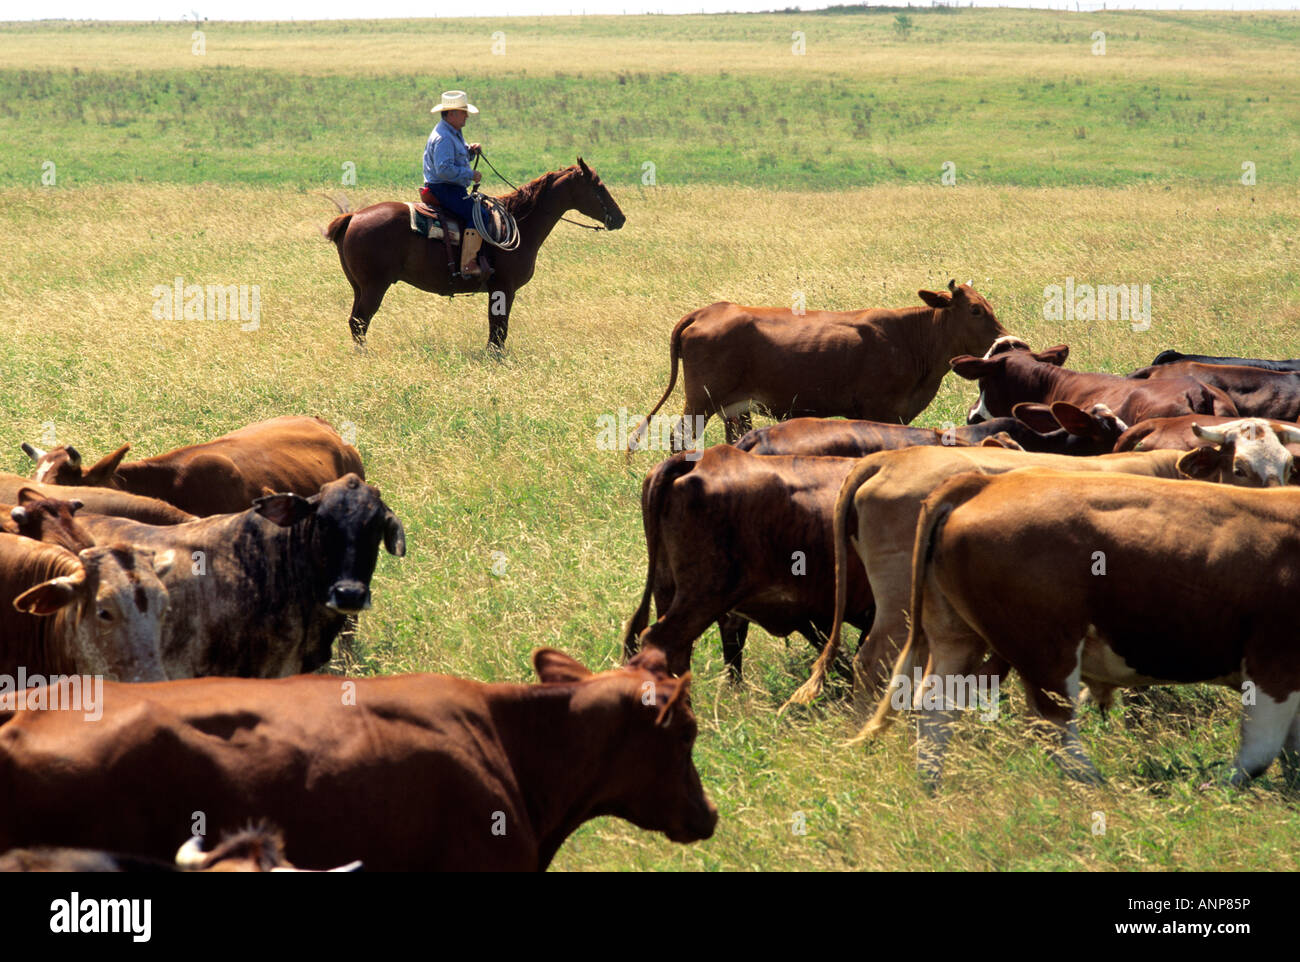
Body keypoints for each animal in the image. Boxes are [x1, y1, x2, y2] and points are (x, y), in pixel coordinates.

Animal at [629, 280, 1005, 448]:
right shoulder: (878, 410)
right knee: (681, 438)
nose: (1005, 340)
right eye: (975, 310)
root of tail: (709, 310)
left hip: (734, 408)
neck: (910, 338)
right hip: (699, 403)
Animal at [890, 469, 1300, 787]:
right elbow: (1260, 751)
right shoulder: (1275, 662)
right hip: (1049, 651)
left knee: (937, 705)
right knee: (1054, 725)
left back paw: (930, 786)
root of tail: (988, 482)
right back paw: (1097, 784)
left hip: (957, 637)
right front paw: (1211, 788)